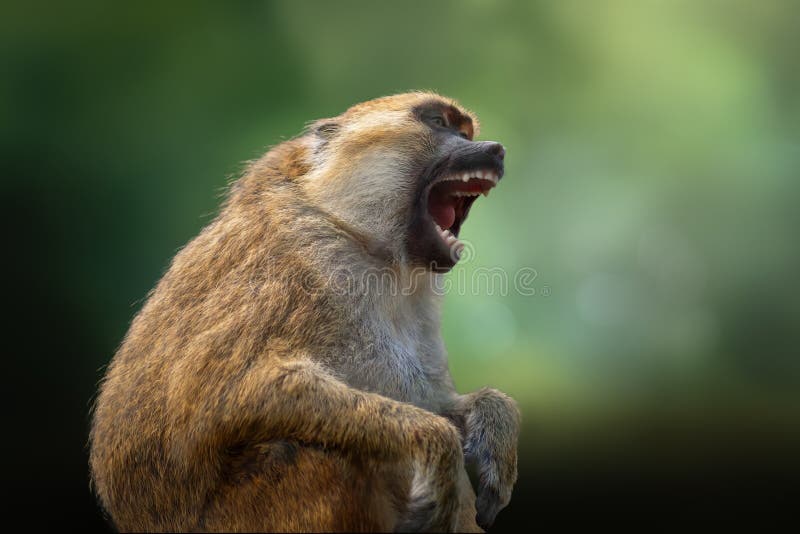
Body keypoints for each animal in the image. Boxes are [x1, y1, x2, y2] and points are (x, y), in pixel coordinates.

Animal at [89, 92, 519, 532]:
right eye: (438, 123)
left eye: (466, 132)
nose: (494, 150)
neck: (353, 232)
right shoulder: (295, 268)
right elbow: (229, 394)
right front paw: (437, 442)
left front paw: (493, 422)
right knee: (324, 456)